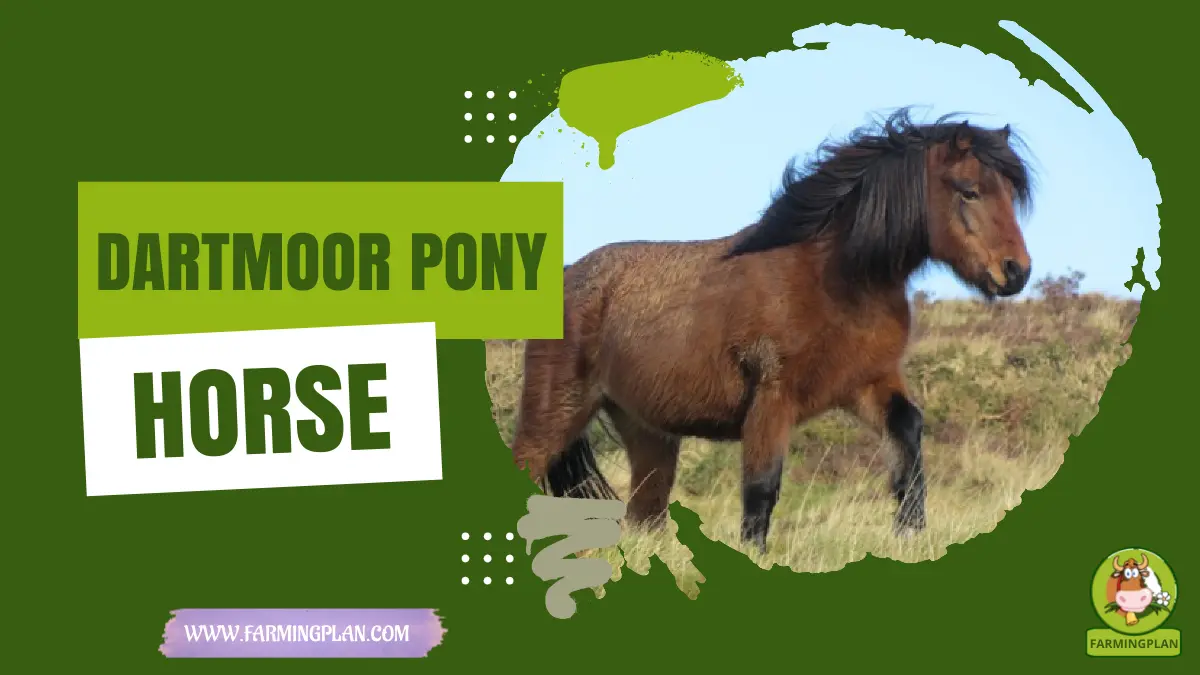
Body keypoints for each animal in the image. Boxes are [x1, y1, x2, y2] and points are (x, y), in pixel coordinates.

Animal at [509, 107, 1035, 553]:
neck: (835, 281)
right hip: (553, 416)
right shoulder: (772, 400)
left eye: (1010, 194)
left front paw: (909, 533)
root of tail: (569, 277)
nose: (1016, 272)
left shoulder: (867, 385)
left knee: (645, 516)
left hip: (648, 432)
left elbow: (908, 442)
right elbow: (761, 489)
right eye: (968, 190)